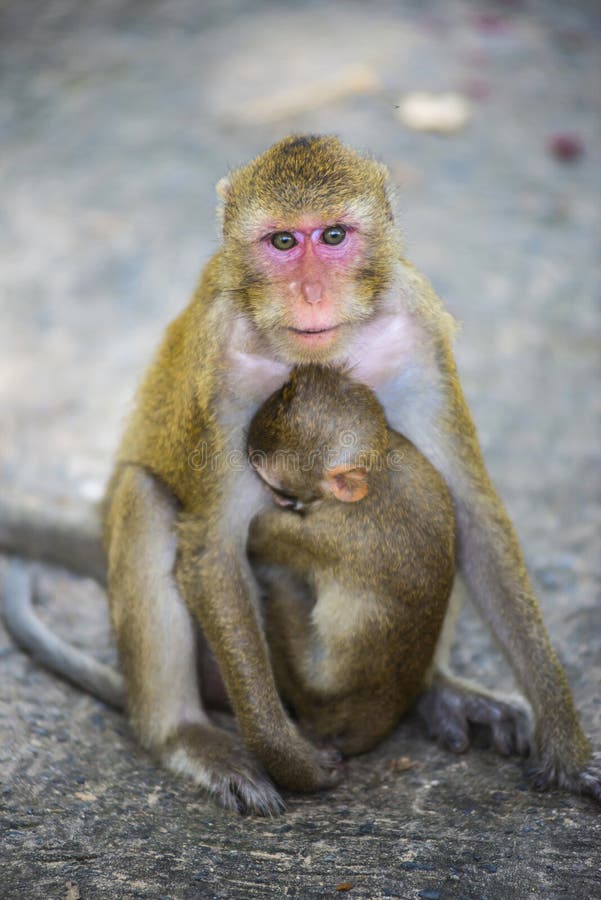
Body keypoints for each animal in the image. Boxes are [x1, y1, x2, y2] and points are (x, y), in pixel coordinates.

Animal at [246, 363, 456, 756]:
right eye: (284, 391)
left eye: (279, 489)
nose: (249, 449)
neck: (374, 475)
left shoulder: (322, 535)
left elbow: (261, 537)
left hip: (314, 694)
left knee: (280, 583)